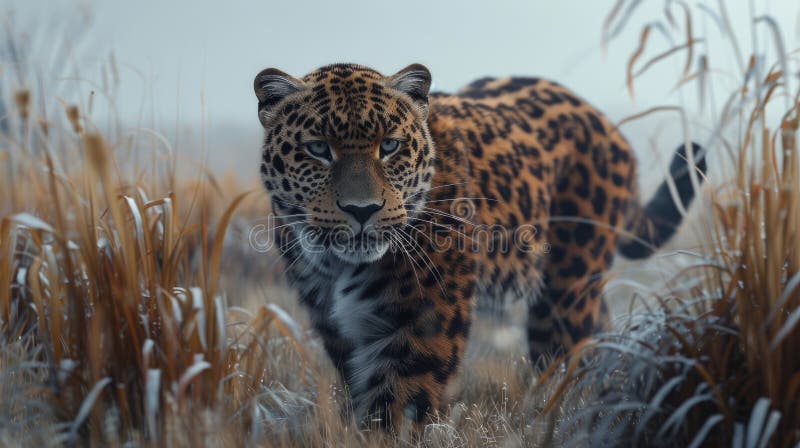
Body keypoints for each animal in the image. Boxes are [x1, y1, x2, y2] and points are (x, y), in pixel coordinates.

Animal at [252, 63, 706, 429]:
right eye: (317, 149)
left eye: (389, 146)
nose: (361, 210)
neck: (335, 265)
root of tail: (605, 122)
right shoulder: (336, 328)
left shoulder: (423, 322)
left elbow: (397, 406)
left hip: (565, 293)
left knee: (568, 359)